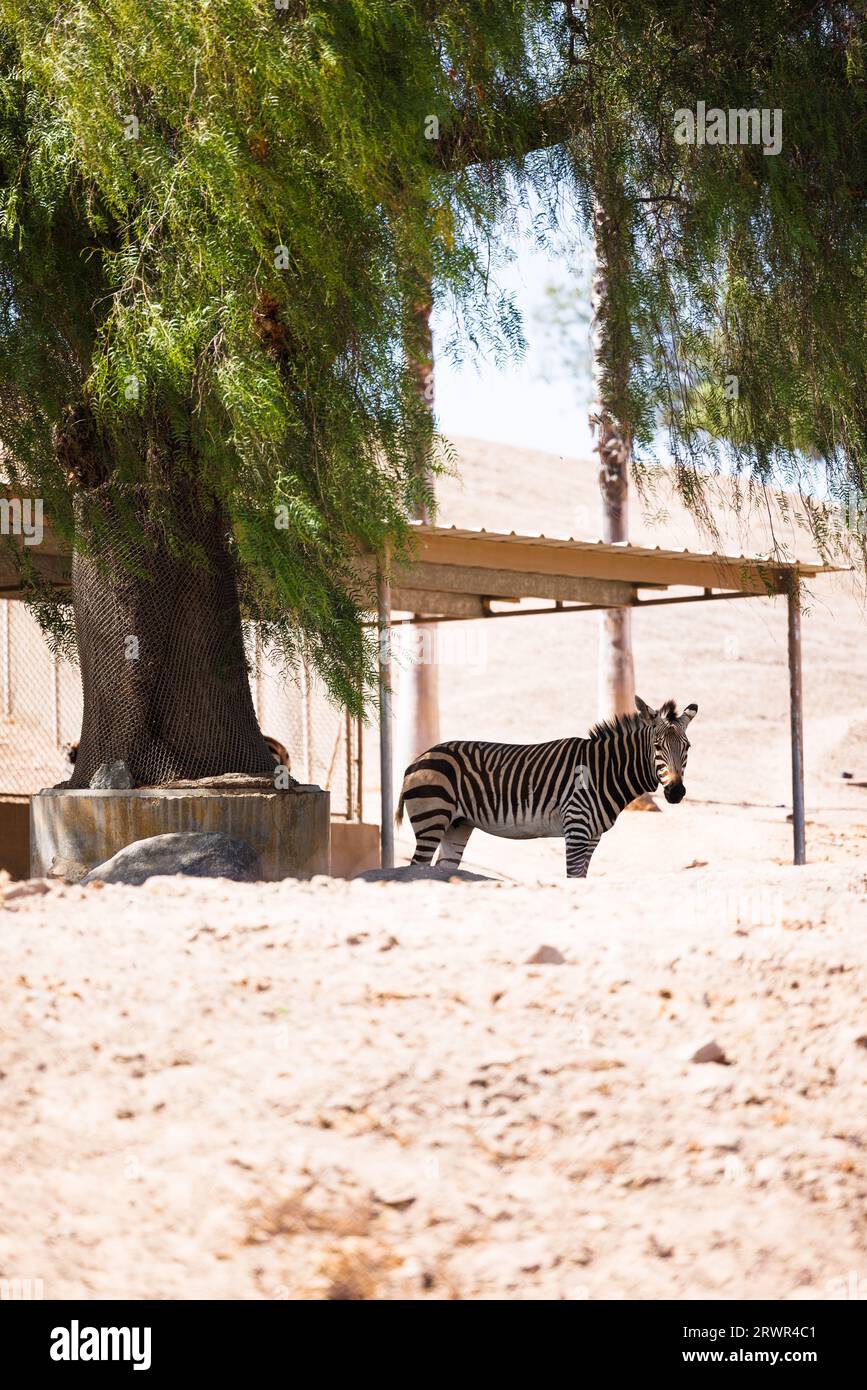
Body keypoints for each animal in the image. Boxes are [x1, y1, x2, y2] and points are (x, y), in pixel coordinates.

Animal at [395, 696, 698, 878]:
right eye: (656, 747)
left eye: (687, 747)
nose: (676, 792)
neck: (604, 770)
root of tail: (419, 758)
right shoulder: (576, 829)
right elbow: (573, 878)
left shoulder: (593, 836)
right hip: (432, 819)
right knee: (417, 866)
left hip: (457, 825)